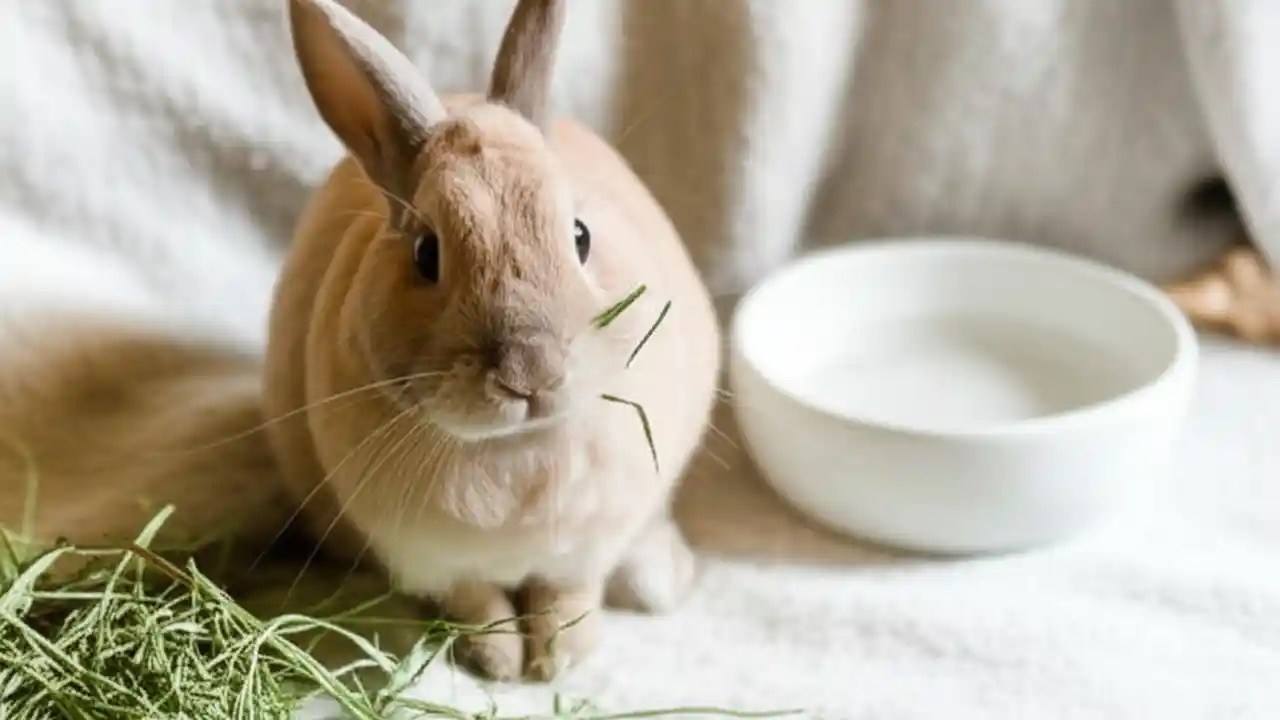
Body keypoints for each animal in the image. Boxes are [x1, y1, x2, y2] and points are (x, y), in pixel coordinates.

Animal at [263, 0, 721, 681]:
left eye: (580, 235)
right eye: (426, 253)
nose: (531, 372)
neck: (513, 448)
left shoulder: (586, 545)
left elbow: (567, 596)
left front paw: (558, 661)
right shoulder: (431, 559)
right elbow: (478, 602)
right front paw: (500, 662)